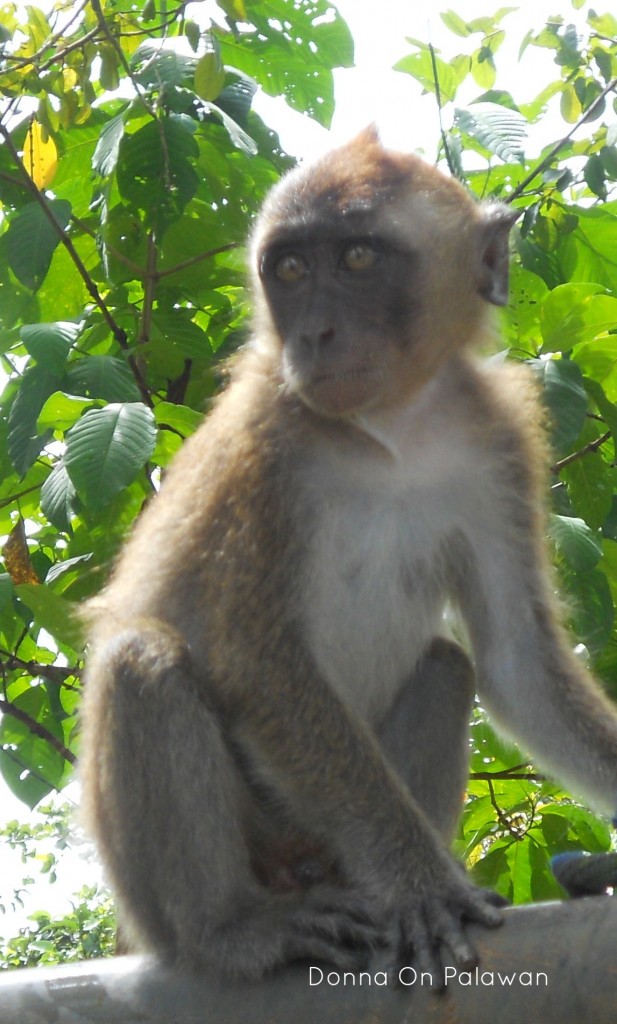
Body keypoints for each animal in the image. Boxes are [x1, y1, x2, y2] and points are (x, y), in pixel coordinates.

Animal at [79, 126, 617, 987]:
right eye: (291, 270)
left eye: (358, 258)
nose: (313, 335)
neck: (390, 428)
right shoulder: (264, 453)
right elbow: (257, 661)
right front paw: (419, 886)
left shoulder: (498, 445)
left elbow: (517, 666)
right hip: (166, 880)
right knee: (142, 660)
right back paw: (231, 930)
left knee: (445, 665)